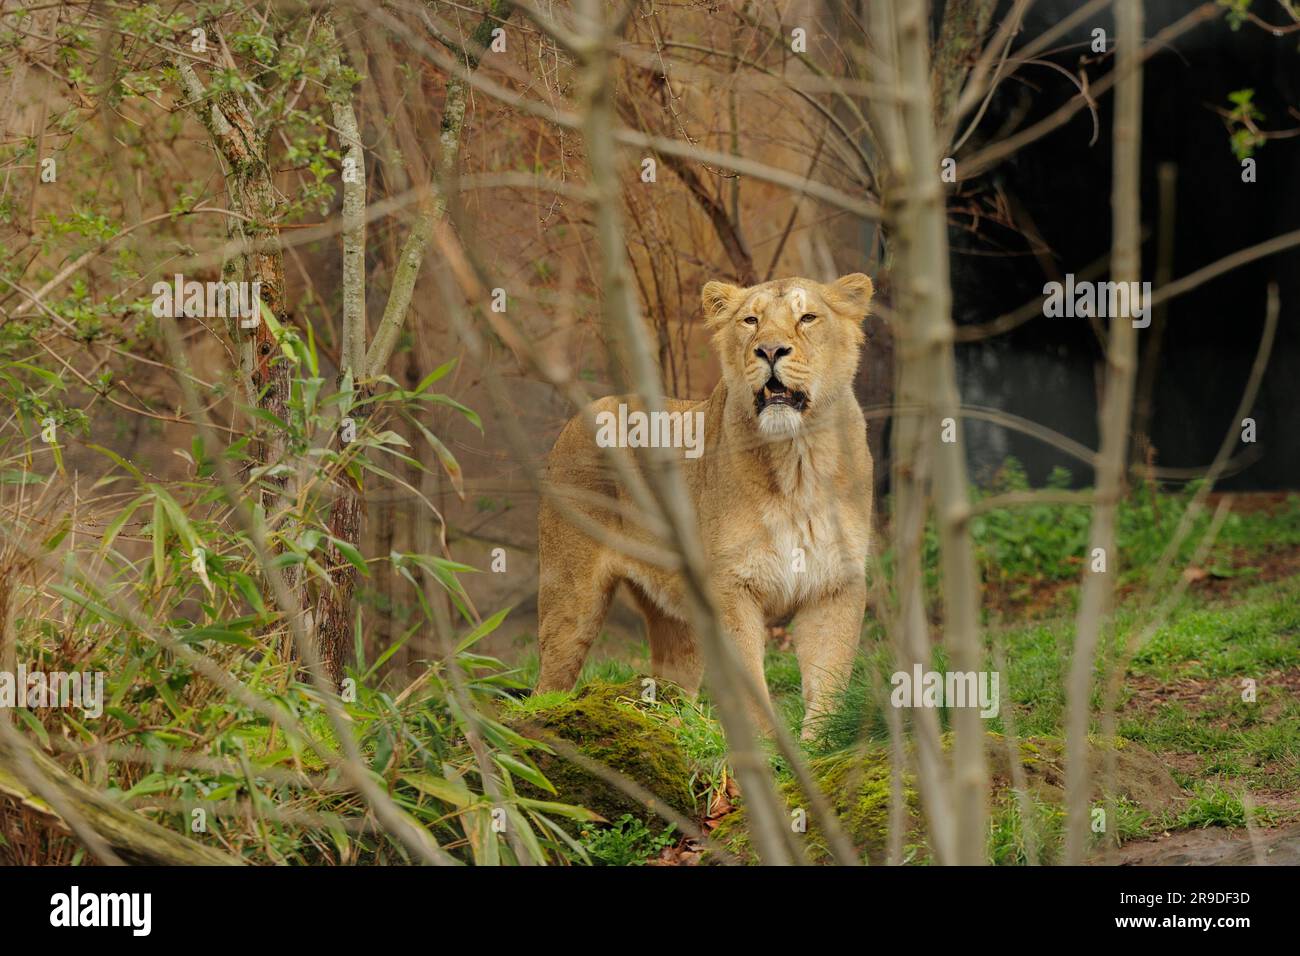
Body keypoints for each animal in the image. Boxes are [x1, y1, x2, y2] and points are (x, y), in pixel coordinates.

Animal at [536, 273, 876, 737]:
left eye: (807, 317)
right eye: (751, 320)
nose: (770, 350)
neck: (797, 460)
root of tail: (583, 413)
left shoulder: (835, 584)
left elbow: (829, 679)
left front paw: (815, 746)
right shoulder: (730, 587)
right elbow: (750, 687)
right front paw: (766, 748)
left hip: (679, 618)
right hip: (571, 597)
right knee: (547, 681)